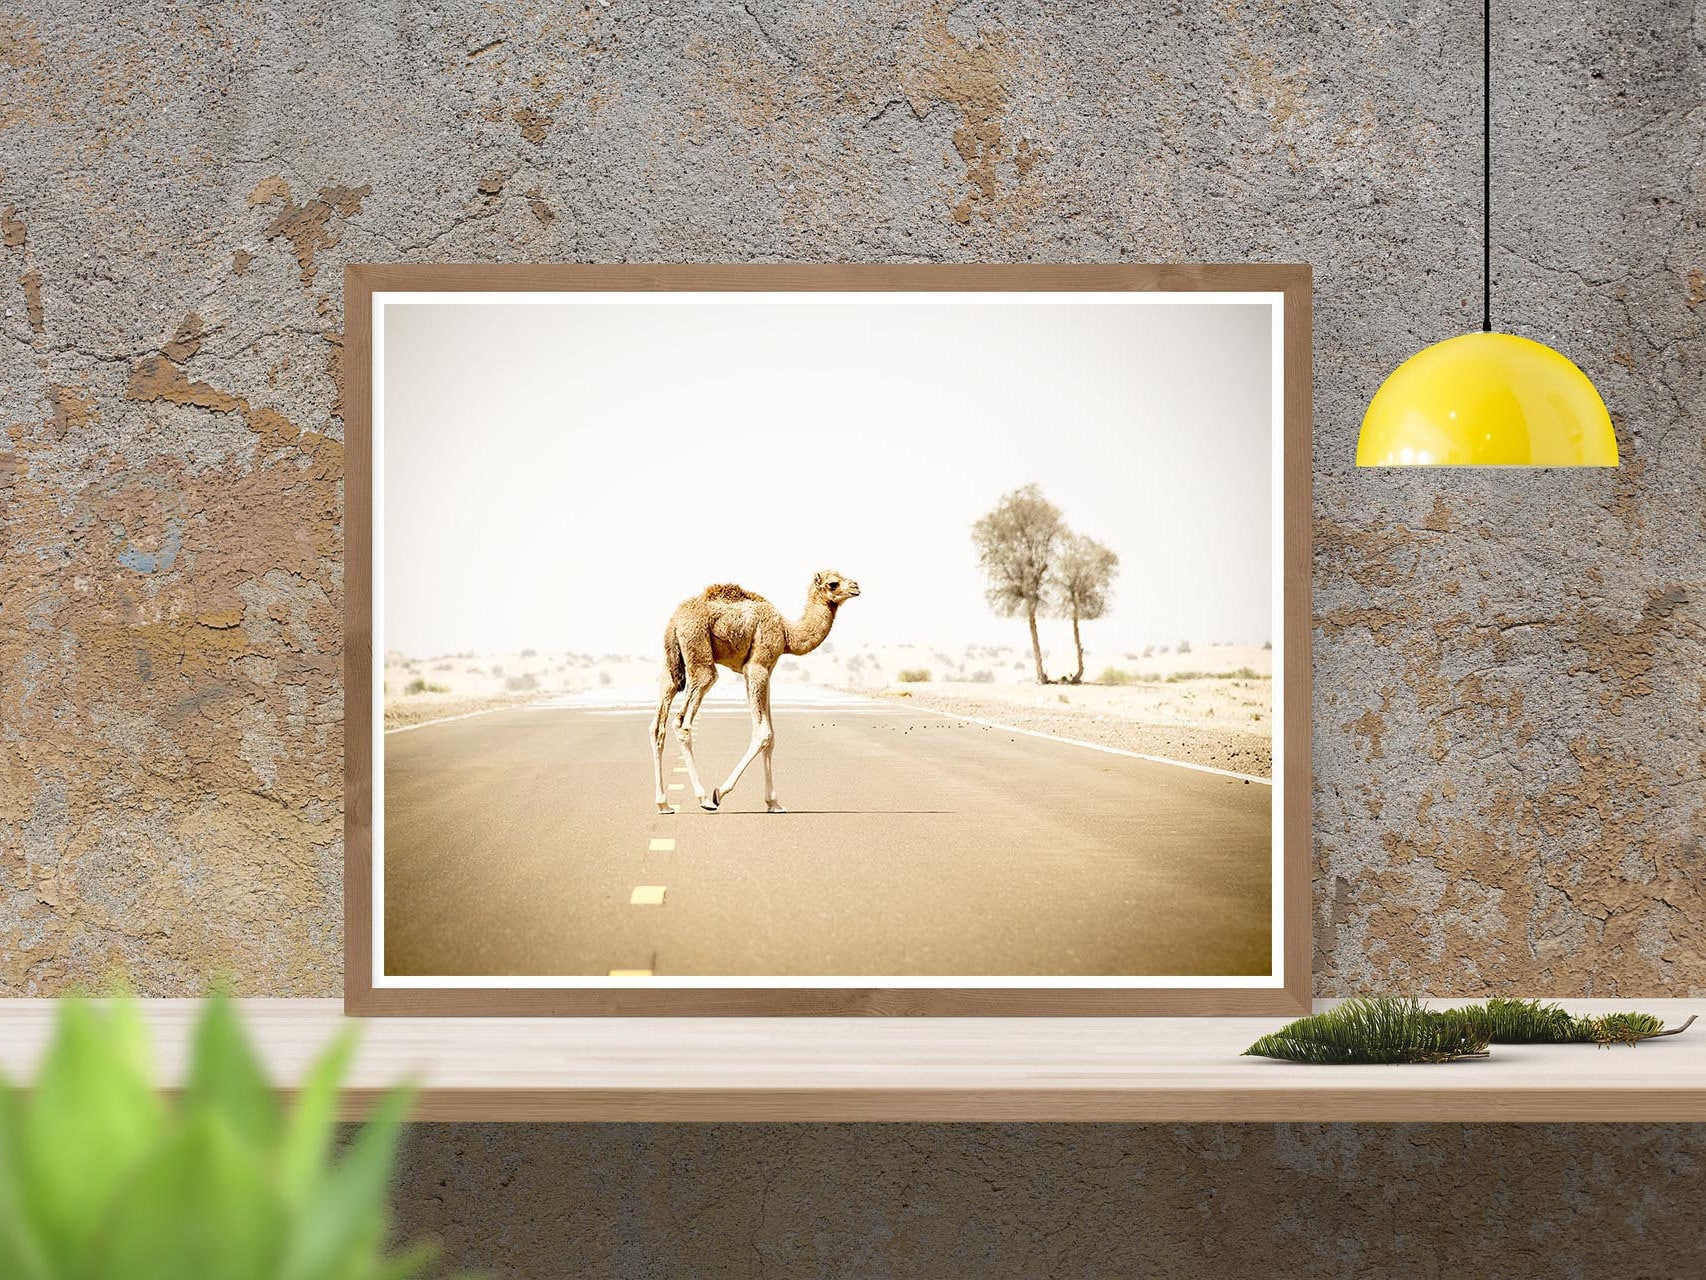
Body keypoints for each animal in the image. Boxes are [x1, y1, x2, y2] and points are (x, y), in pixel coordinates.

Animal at [650, 570, 861, 814]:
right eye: (833, 584)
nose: (856, 587)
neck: (787, 633)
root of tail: (674, 622)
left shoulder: (765, 670)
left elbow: (771, 735)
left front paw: (774, 803)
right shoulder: (757, 665)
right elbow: (763, 733)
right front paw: (719, 793)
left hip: (671, 665)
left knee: (658, 725)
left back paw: (663, 804)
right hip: (699, 655)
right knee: (683, 722)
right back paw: (704, 799)